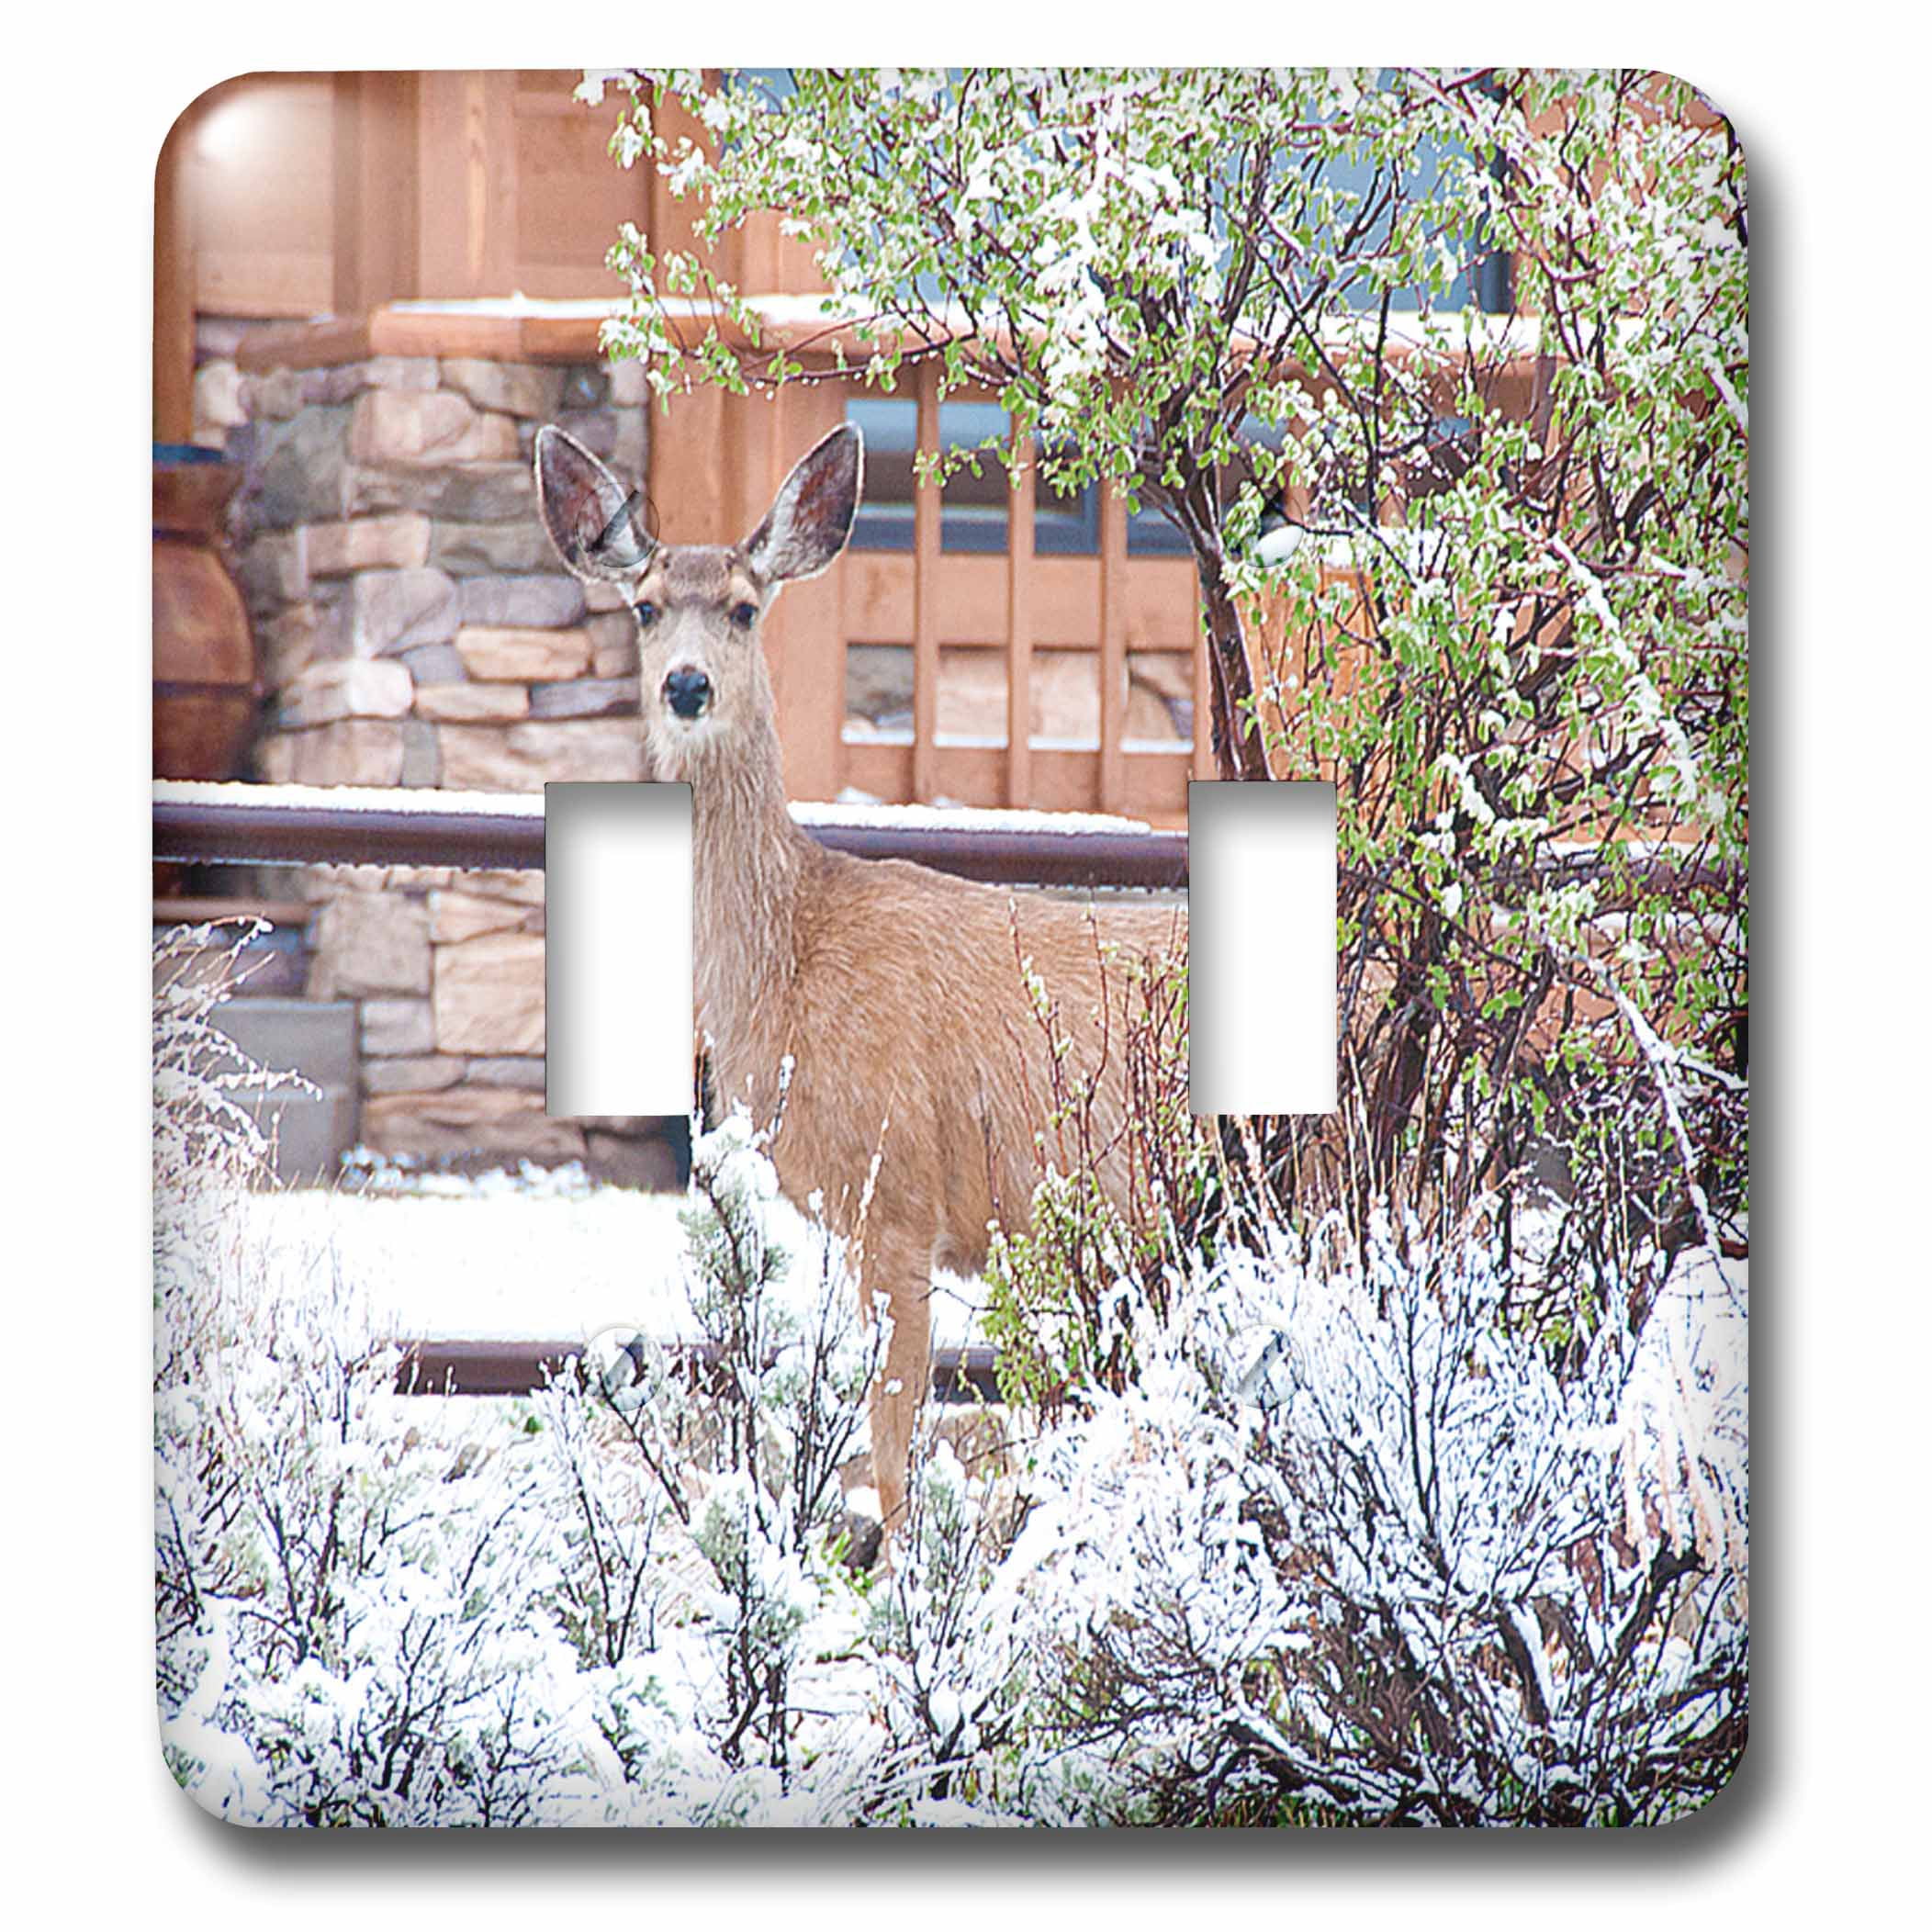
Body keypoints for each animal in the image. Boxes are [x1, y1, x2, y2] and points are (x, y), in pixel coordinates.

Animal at [534, 420, 1187, 1536]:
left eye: (745, 607)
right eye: (647, 606)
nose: (687, 686)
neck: (790, 961)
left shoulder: (898, 1198)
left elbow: (893, 1452)